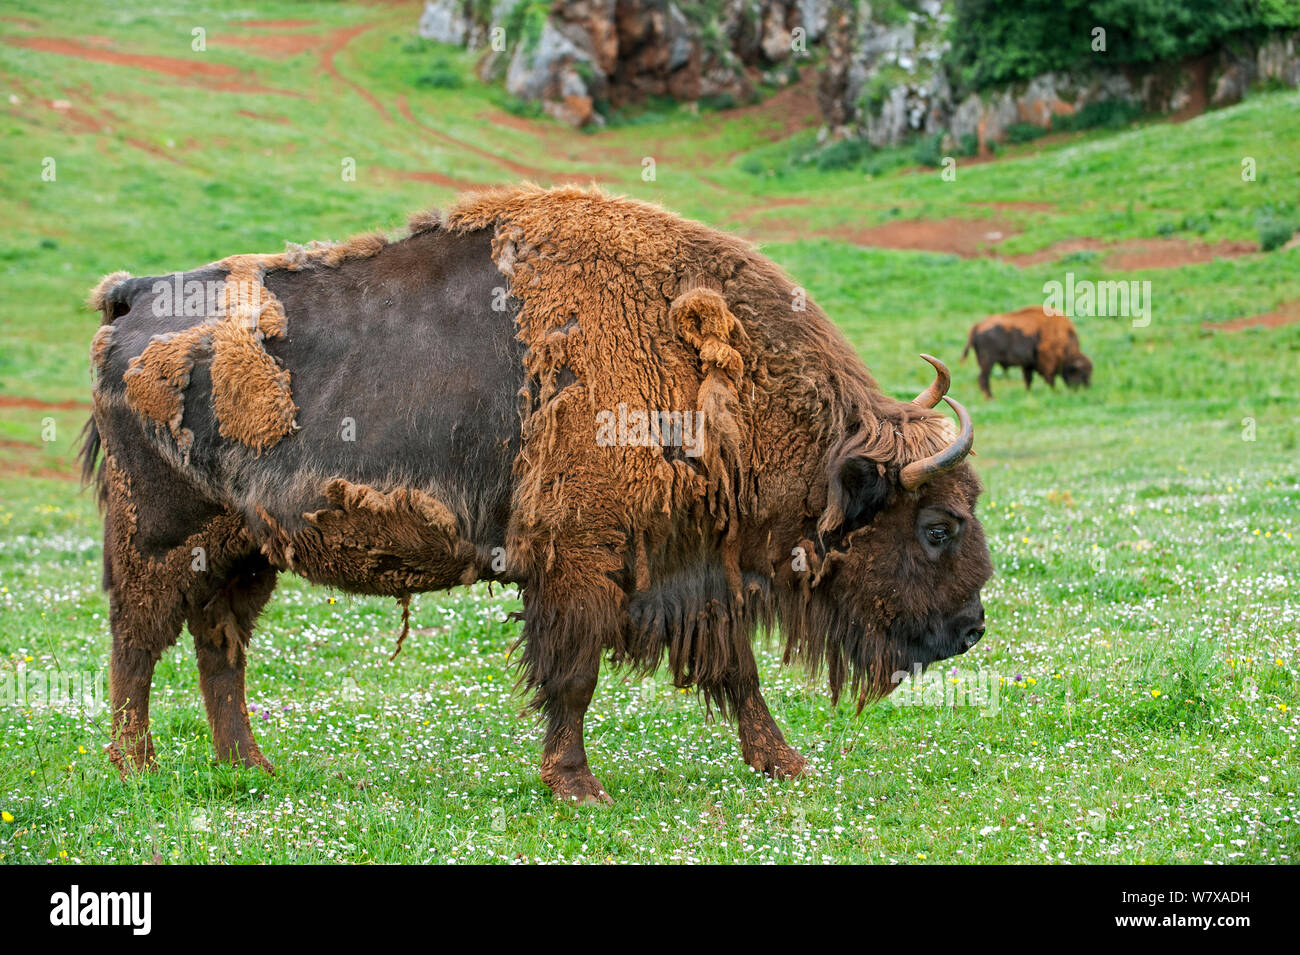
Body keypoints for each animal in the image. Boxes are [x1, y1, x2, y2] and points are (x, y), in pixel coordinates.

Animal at [82, 185, 992, 804]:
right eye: (939, 526)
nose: (973, 627)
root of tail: (135, 298)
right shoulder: (578, 561)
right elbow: (573, 675)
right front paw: (577, 785)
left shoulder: (692, 566)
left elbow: (736, 671)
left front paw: (785, 762)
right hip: (161, 538)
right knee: (138, 641)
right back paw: (136, 767)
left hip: (245, 551)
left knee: (217, 646)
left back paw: (250, 766)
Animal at [963, 306, 1093, 398]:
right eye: (1082, 373)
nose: (1087, 387)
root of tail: (977, 326)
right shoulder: (1047, 362)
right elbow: (1049, 379)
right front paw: (1054, 392)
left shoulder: (1028, 365)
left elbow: (1028, 379)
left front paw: (1028, 393)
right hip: (988, 362)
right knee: (983, 378)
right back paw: (990, 397)